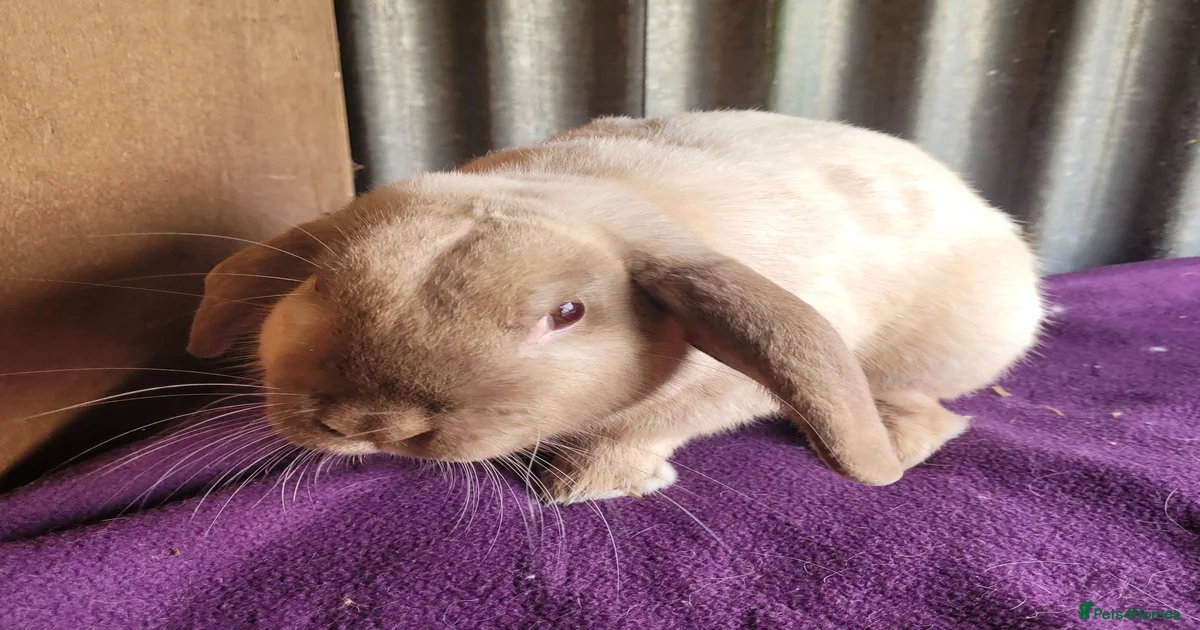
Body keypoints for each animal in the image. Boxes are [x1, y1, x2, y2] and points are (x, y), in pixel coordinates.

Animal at [187, 110, 1044, 504]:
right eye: (317, 284)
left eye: (567, 313)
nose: (373, 425)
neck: (574, 194)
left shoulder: (718, 393)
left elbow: (639, 431)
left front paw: (586, 487)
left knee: (933, 409)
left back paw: (895, 440)